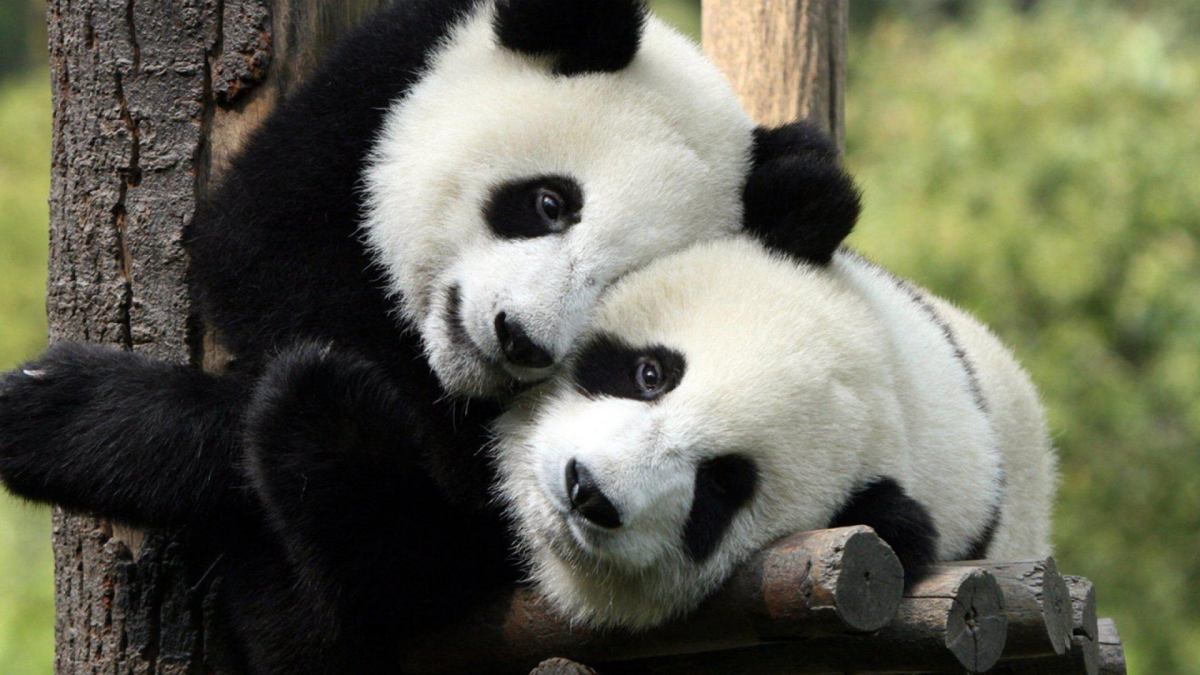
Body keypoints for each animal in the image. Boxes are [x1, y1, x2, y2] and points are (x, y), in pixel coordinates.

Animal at [0, 0, 861, 672]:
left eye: (617, 285)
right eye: (549, 203)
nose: (519, 339)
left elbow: (435, 527)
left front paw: (68, 414)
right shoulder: (369, 97)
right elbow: (255, 247)